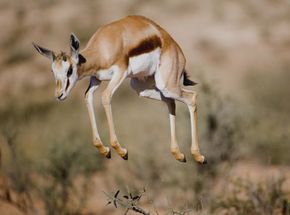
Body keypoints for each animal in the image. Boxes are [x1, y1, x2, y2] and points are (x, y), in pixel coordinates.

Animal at [32, 15, 206, 163]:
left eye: (69, 70)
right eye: (52, 71)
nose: (59, 95)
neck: (103, 47)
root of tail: (173, 44)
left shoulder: (120, 73)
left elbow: (105, 97)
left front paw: (121, 151)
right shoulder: (96, 79)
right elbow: (87, 97)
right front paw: (104, 150)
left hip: (167, 85)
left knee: (191, 97)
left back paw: (198, 156)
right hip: (142, 87)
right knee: (171, 102)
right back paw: (179, 154)